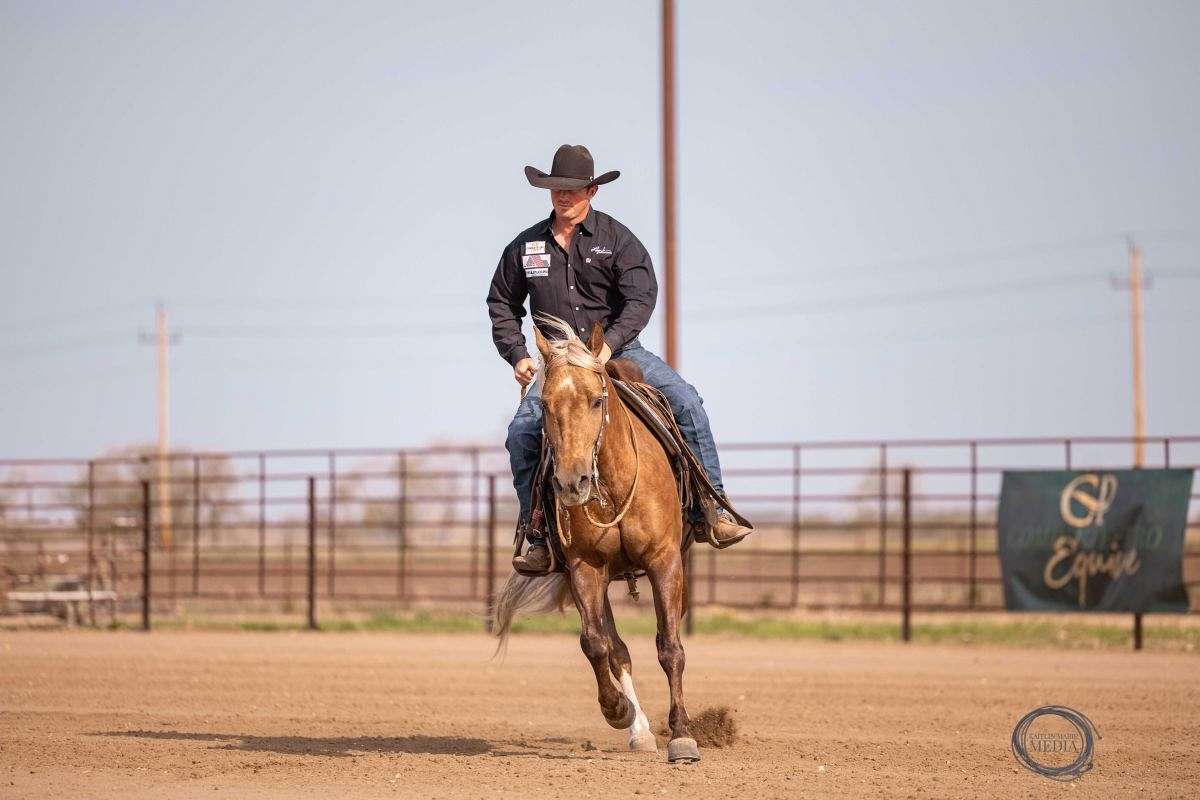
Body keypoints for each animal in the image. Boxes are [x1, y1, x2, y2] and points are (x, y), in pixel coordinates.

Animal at [491, 314, 700, 764]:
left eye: (596, 401)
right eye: (545, 404)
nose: (572, 483)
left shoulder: (664, 561)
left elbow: (670, 647)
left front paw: (682, 736)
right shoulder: (585, 567)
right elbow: (595, 644)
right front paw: (617, 710)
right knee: (615, 648)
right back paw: (639, 731)